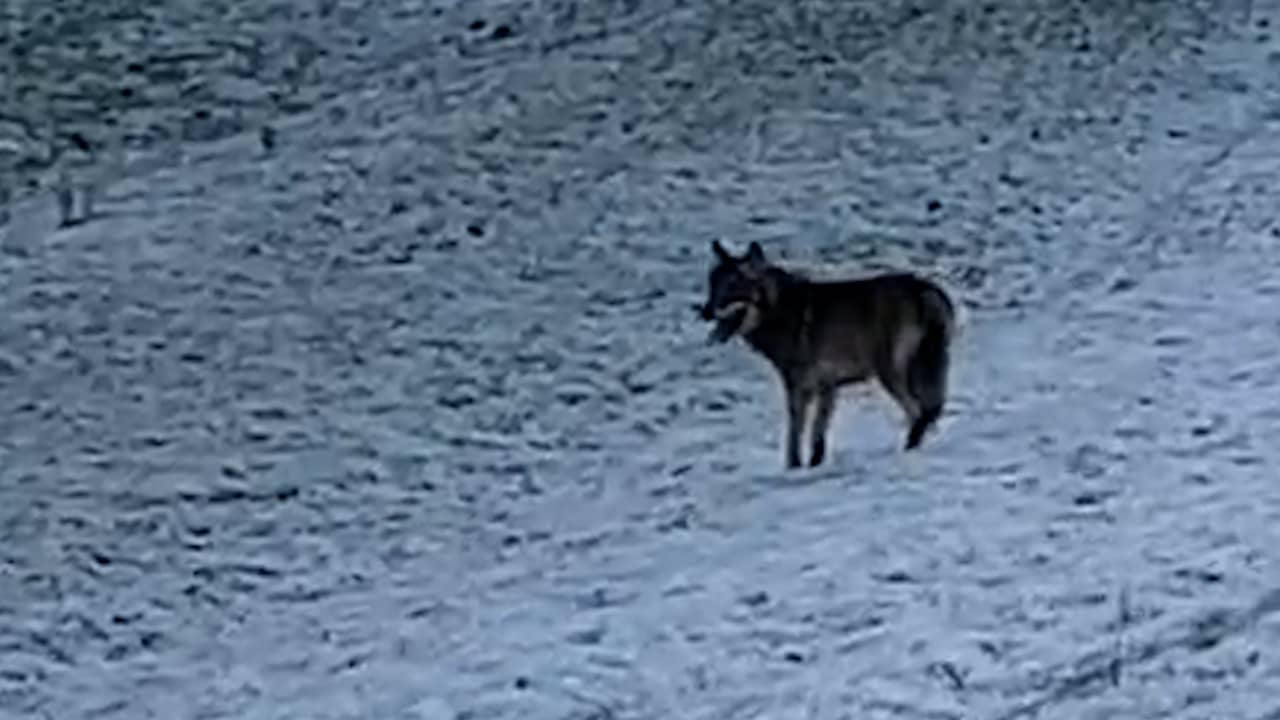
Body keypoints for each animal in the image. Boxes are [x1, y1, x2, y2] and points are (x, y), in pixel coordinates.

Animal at [697, 240, 956, 468]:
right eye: (712, 285)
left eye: (731, 286)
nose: (705, 312)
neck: (779, 311)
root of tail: (923, 288)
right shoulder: (828, 386)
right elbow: (817, 434)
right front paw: (815, 463)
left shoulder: (798, 387)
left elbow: (795, 433)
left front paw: (794, 467)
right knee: (928, 413)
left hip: (890, 375)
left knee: (918, 412)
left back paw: (911, 449)